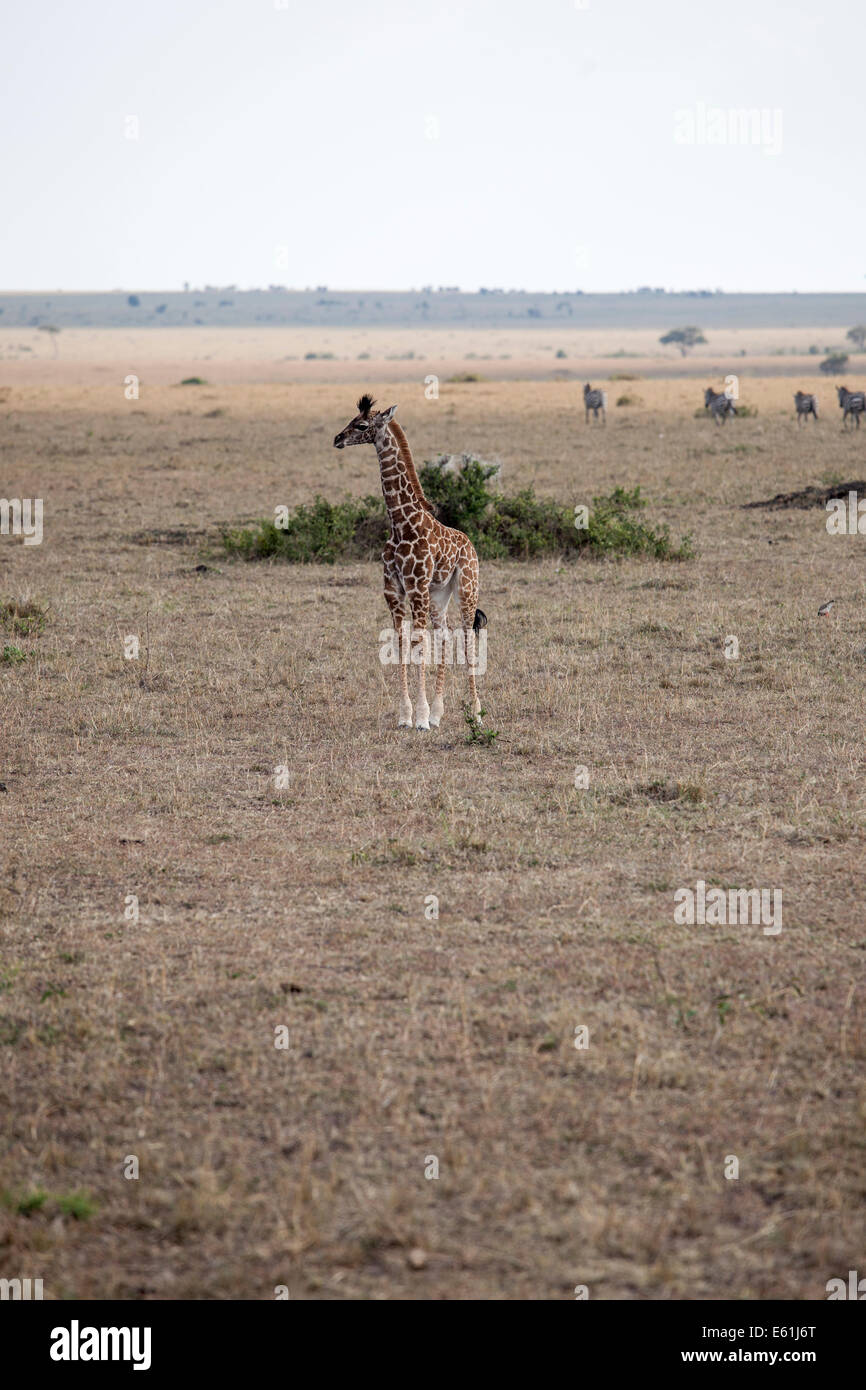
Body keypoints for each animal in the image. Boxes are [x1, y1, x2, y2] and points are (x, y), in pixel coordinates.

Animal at [334, 395, 487, 731]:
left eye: (361, 425)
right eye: (351, 420)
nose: (337, 439)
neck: (401, 523)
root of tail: (470, 544)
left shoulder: (416, 588)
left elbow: (418, 644)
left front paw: (422, 717)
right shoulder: (393, 590)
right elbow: (402, 642)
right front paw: (407, 715)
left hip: (466, 588)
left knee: (467, 638)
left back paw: (477, 712)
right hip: (438, 595)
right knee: (444, 635)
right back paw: (441, 713)